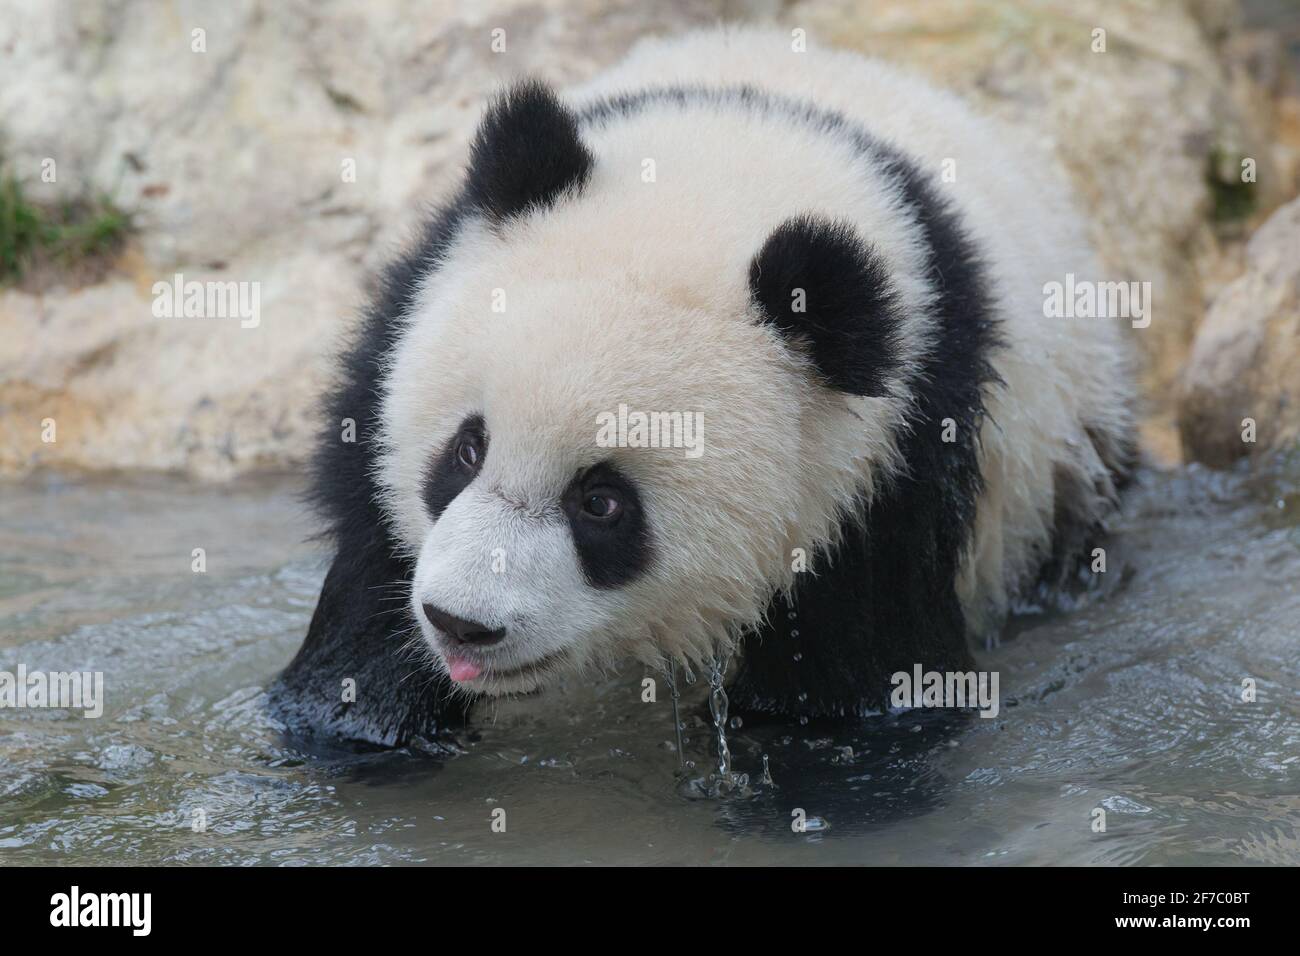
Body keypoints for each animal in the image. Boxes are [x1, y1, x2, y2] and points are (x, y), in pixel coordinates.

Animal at [273, 27, 1135, 747]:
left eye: (602, 502)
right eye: (466, 450)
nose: (461, 623)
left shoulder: (893, 463)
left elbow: (859, 695)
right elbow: (359, 648)